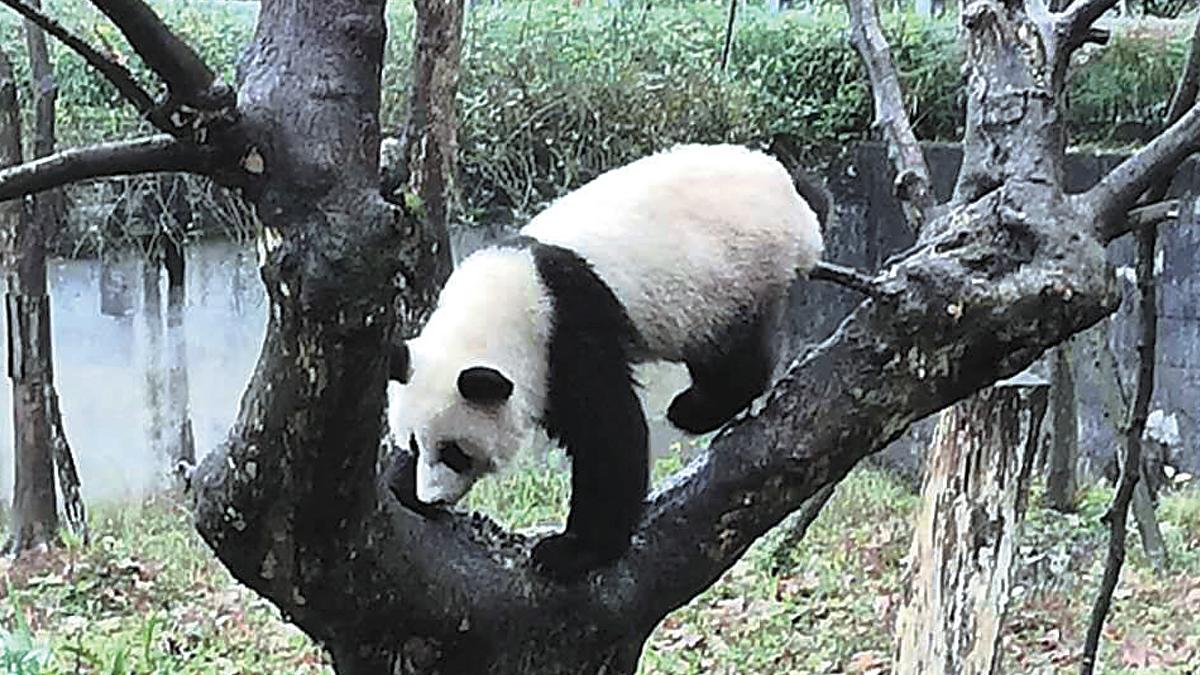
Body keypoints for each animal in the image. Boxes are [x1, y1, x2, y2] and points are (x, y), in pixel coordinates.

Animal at [388, 143, 825, 580]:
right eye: (413, 443)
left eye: (454, 452)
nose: (430, 498)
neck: (499, 302)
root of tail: (794, 195)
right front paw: (401, 486)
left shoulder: (565, 330)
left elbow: (608, 431)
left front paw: (573, 550)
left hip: (734, 280)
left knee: (731, 358)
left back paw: (694, 409)